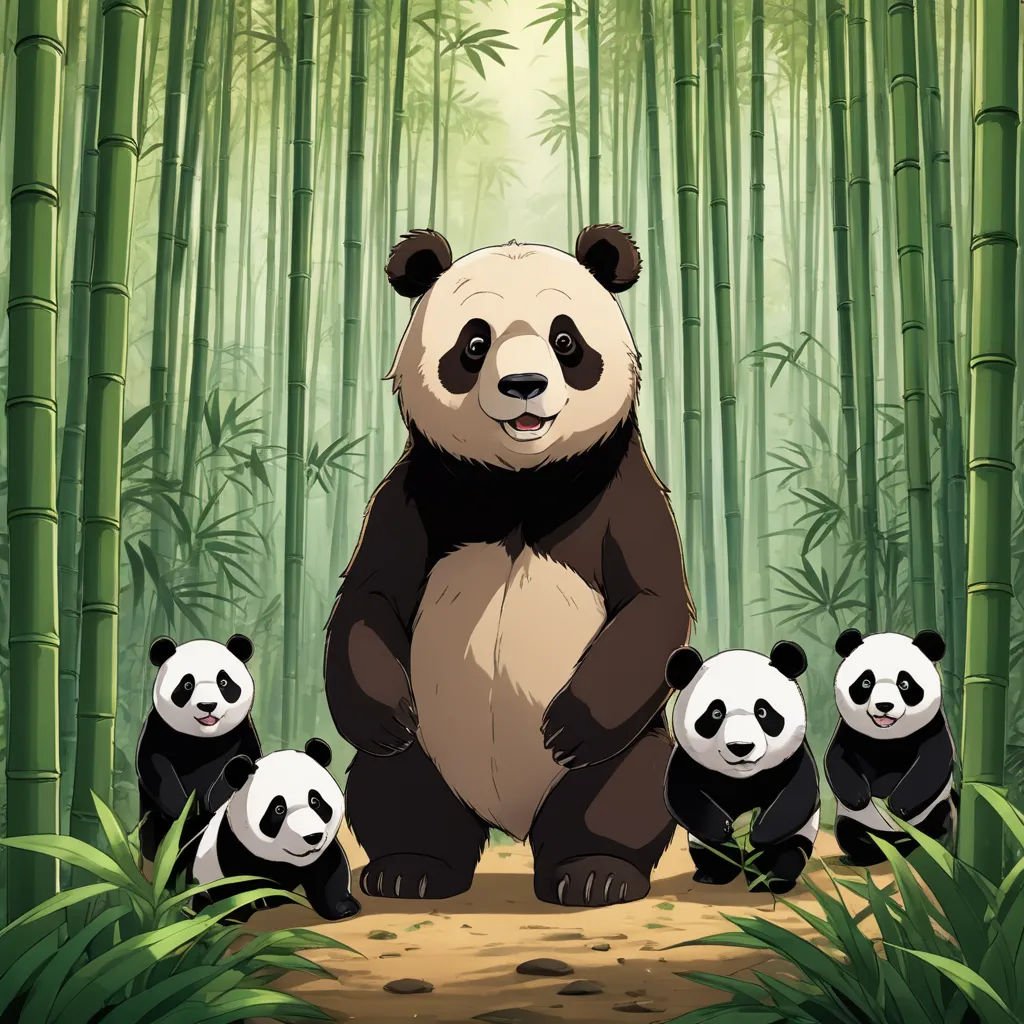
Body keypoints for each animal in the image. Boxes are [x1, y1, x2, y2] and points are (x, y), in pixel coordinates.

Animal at [136, 634, 262, 865]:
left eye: (223, 682)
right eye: (187, 684)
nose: (207, 705)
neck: (203, 739)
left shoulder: (242, 733)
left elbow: (243, 767)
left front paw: (212, 801)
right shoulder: (158, 728)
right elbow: (153, 766)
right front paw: (183, 808)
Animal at [191, 738, 360, 922]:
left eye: (315, 801)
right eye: (279, 809)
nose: (312, 837)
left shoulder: (323, 851)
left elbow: (330, 871)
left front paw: (344, 908)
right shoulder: (235, 847)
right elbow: (243, 887)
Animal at [324, 225, 694, 906]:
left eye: (565, 340)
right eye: (474, 343)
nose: (524, 384)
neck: (520, 485)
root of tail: (509, 821)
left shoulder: (623, 488)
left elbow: (653, 603)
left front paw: (568, 725)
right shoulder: (416, 491)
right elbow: (370, 595)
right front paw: (385, 715)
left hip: (625, 749)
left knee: (624, 786)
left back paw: (593, 873)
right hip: (435, 752)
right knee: (395, 785)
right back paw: (412, 869)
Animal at [664, 641, 820, 895]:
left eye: (763, 712)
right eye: (715, 713)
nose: (741, 747)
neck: (742, 777)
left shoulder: (793, 755)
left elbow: (798, 793)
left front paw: (760, 832)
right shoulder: (688, 759)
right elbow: (681, 794)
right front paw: (723, 828)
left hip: (798, 837)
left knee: (787, 853)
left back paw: (770, 880)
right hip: (701, 842)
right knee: (712, 852)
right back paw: (714, 873)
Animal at [826, 628, 957, 866]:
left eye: (904, 684)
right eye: (866, 682)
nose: (884, 705)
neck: (887, 736)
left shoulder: (932, 726)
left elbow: (933, 762)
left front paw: (898, 806)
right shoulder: (849, 730)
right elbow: (837, 758)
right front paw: (859, 797)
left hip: (936, 811)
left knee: (940, 828)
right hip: (856, 822)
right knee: (850, 833)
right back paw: (863, 856)